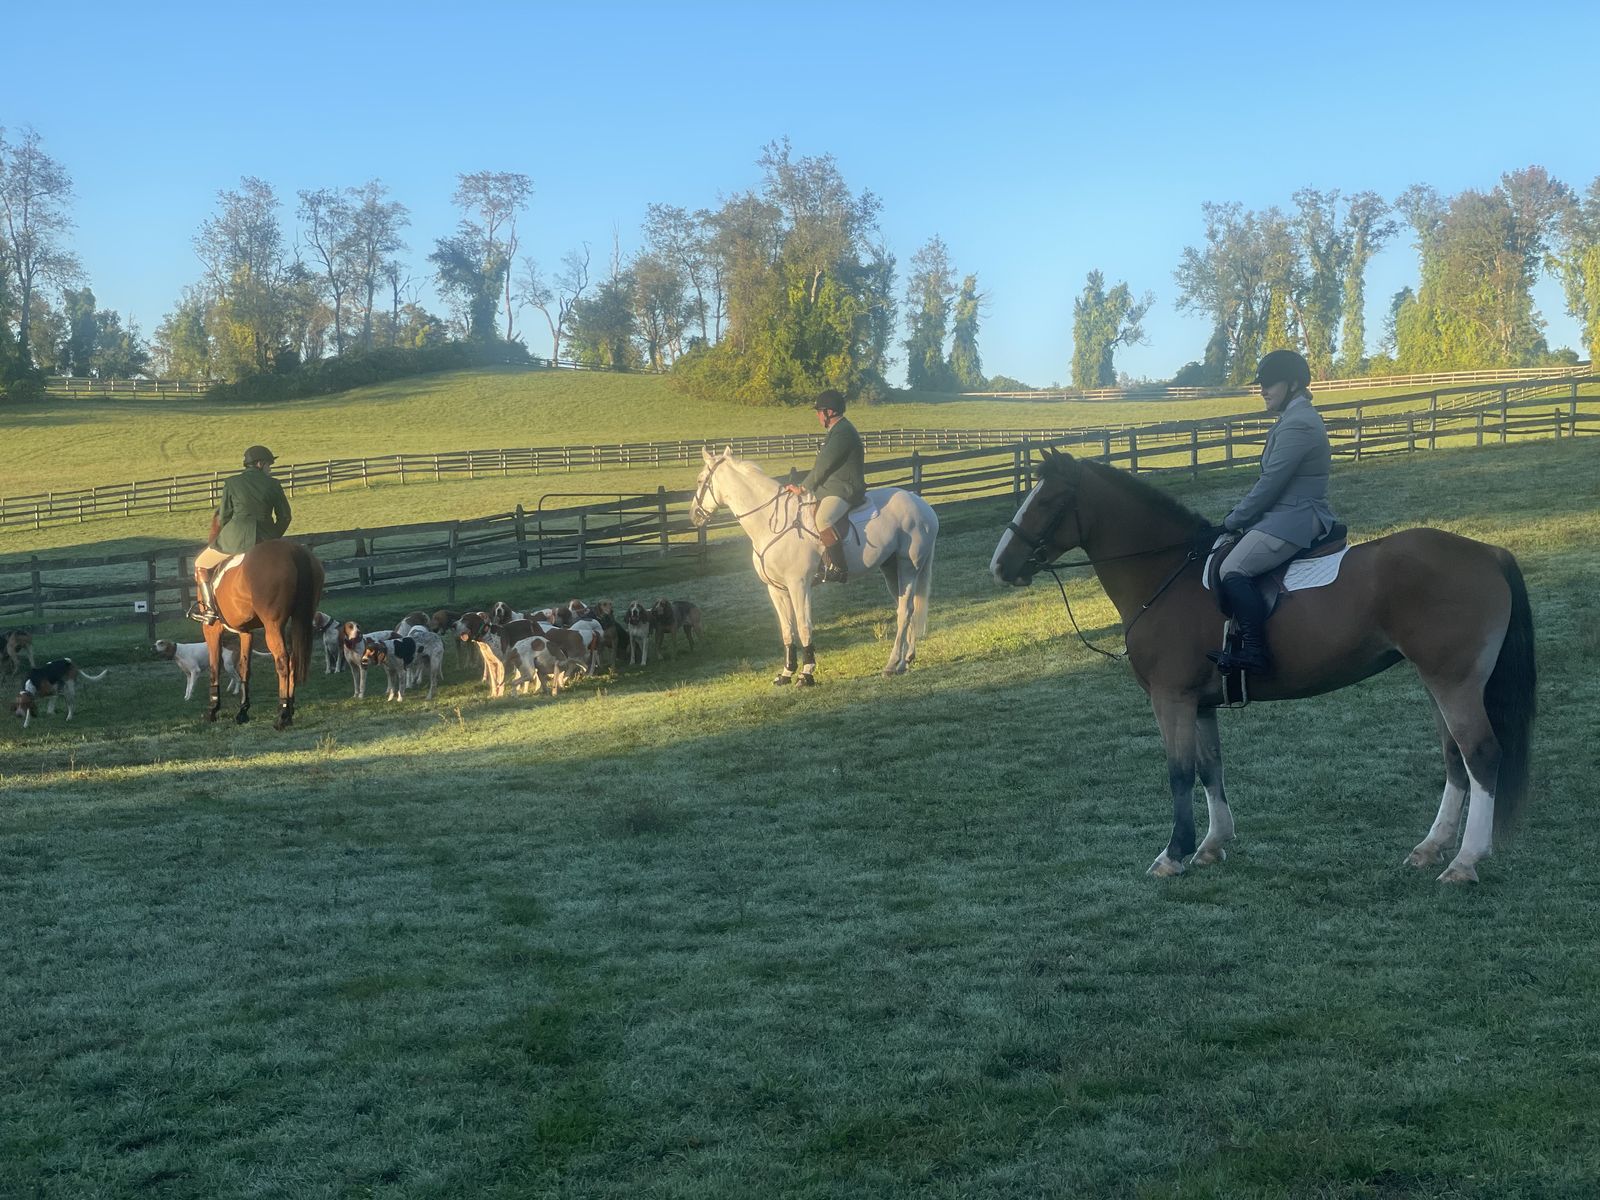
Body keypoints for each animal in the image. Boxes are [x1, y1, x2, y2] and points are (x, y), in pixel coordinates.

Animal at [203, 540, 326, 730]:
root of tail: (293, 551)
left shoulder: (212, 629)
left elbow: (214, 666)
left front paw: (212, 709)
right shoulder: (246, 632)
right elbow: (244, 668)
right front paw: (243, 711)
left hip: (273, 626)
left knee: (282, 661)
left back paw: (282, 714)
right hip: (295, 622)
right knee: (293, 660)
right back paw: (289, 709)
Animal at [689, 446, 938, 684]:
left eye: (700, 480)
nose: (694, 516)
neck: (771, 522)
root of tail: (922, 505)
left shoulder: (799, 585)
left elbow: (803, 626)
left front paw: (806, 674)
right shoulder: (776, 589)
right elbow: (787, 630)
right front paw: (786, 673)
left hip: (908, 567)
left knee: (904, 612)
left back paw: (892, 664)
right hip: (890, 569)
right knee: (908, 609)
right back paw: (905, 661)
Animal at [990, 450, 1535, 884]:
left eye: (1045, 501)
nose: (999, 566)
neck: (1166, 577)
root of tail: (1487, 552)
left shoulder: (1171, 698)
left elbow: (1179, 773)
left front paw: (1173, 855)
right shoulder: (1200, 703)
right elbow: (1210, 767)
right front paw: (1212, 845)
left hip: (1453, 681)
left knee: (1481, 754)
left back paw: (1464, 862)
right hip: (1436, 681)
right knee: (1454, 757)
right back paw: (1430, 848)